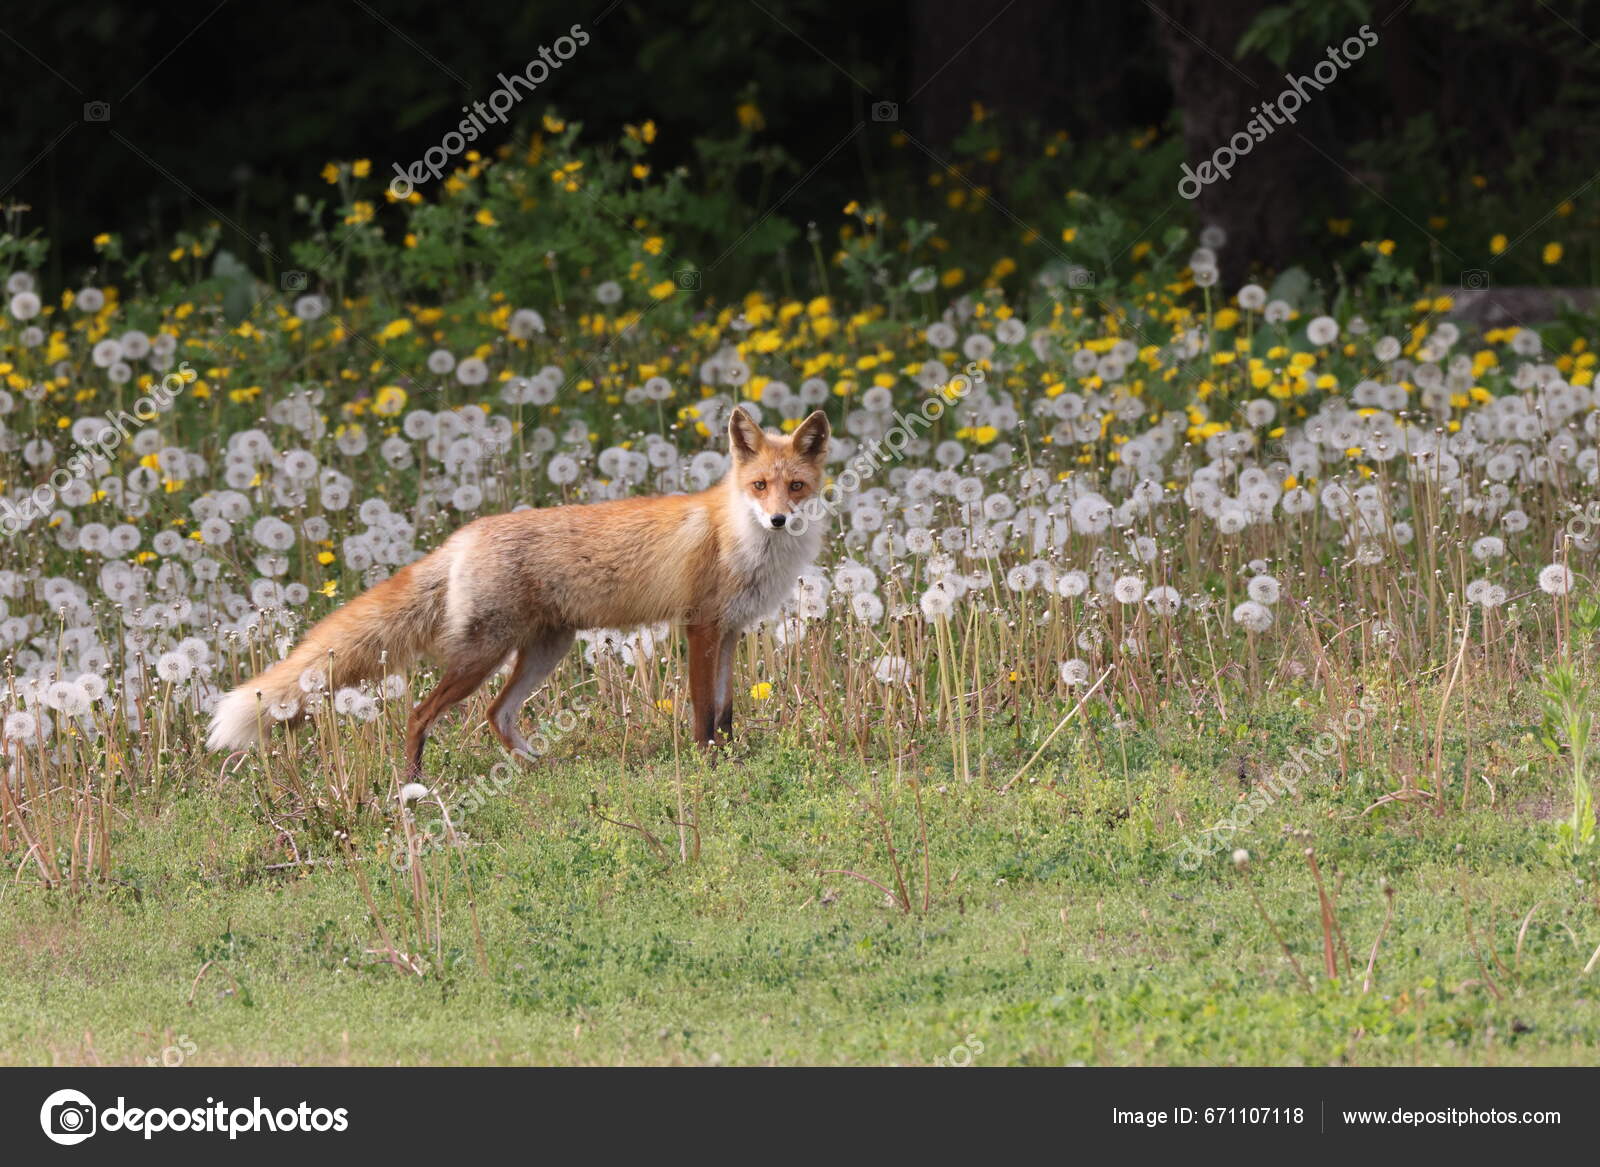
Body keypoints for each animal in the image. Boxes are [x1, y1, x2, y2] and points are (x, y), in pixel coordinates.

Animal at [206, 407, 830, 774]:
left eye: (796, 487)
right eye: (759, 486)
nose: (778, 520)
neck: (742, 541)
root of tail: (463, 534)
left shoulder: (730, 631)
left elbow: (725, 711)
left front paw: (731, 756)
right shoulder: (700, 626)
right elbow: (703, 712)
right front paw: (706, 766)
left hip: (543, 652)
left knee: (495, 714)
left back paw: (535, 766)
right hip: (483, 656)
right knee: (419, 711)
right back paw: (413, 784)